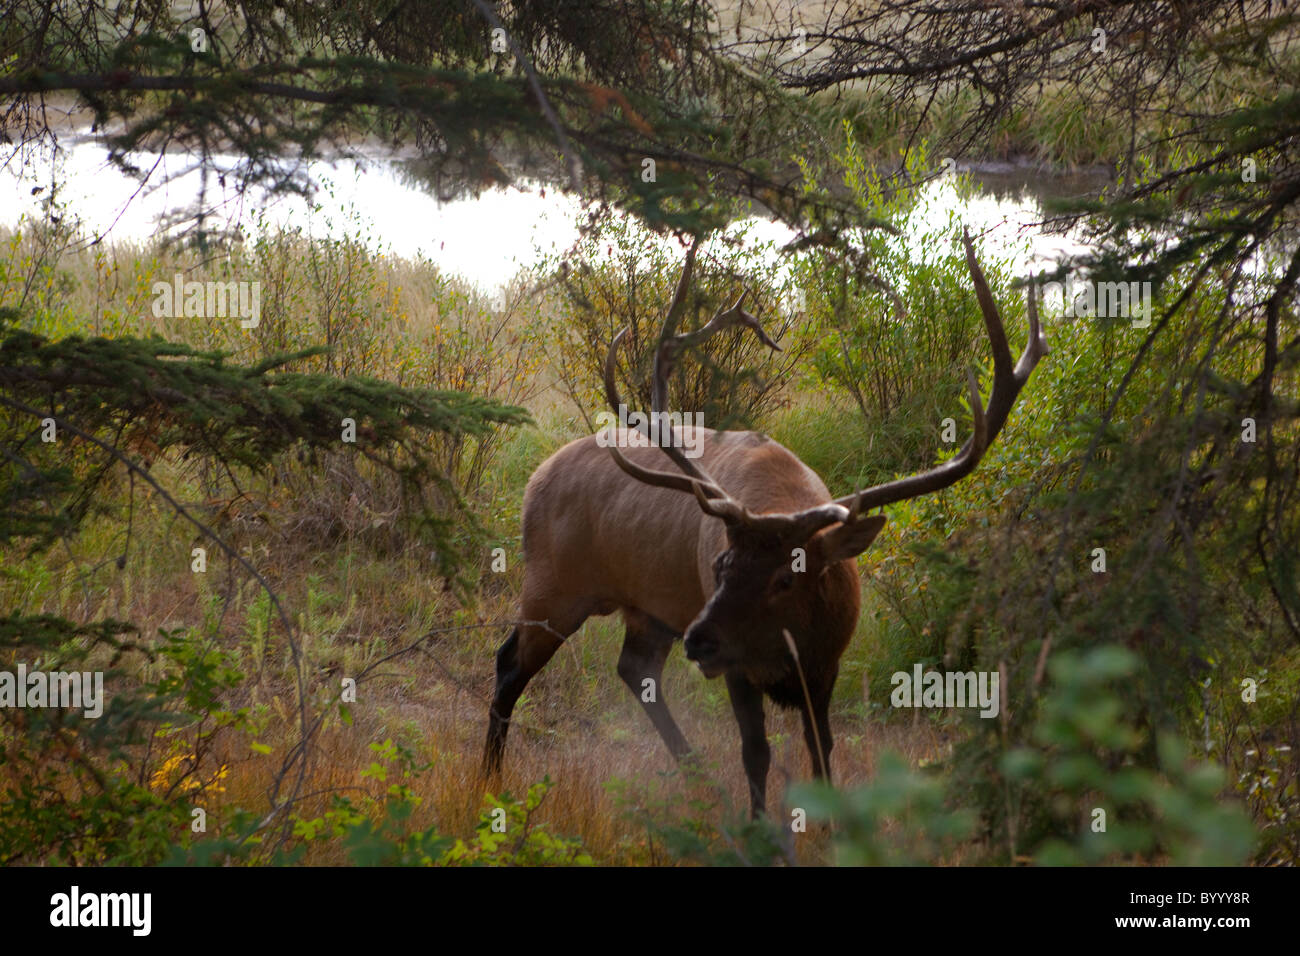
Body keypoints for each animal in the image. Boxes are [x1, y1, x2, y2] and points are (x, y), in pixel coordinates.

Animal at [482, 229, 1047, 815]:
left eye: (786, 578)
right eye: (721, 565)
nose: (700, 640)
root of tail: (534, 479)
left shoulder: (826, 666)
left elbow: (821, 748)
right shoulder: (739, 667)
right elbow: (756, 753)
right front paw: (759, 823)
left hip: (646, 609)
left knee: (634, 669)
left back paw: (700, 780)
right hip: (552, 585)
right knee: (509, 665)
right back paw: (490, 778)